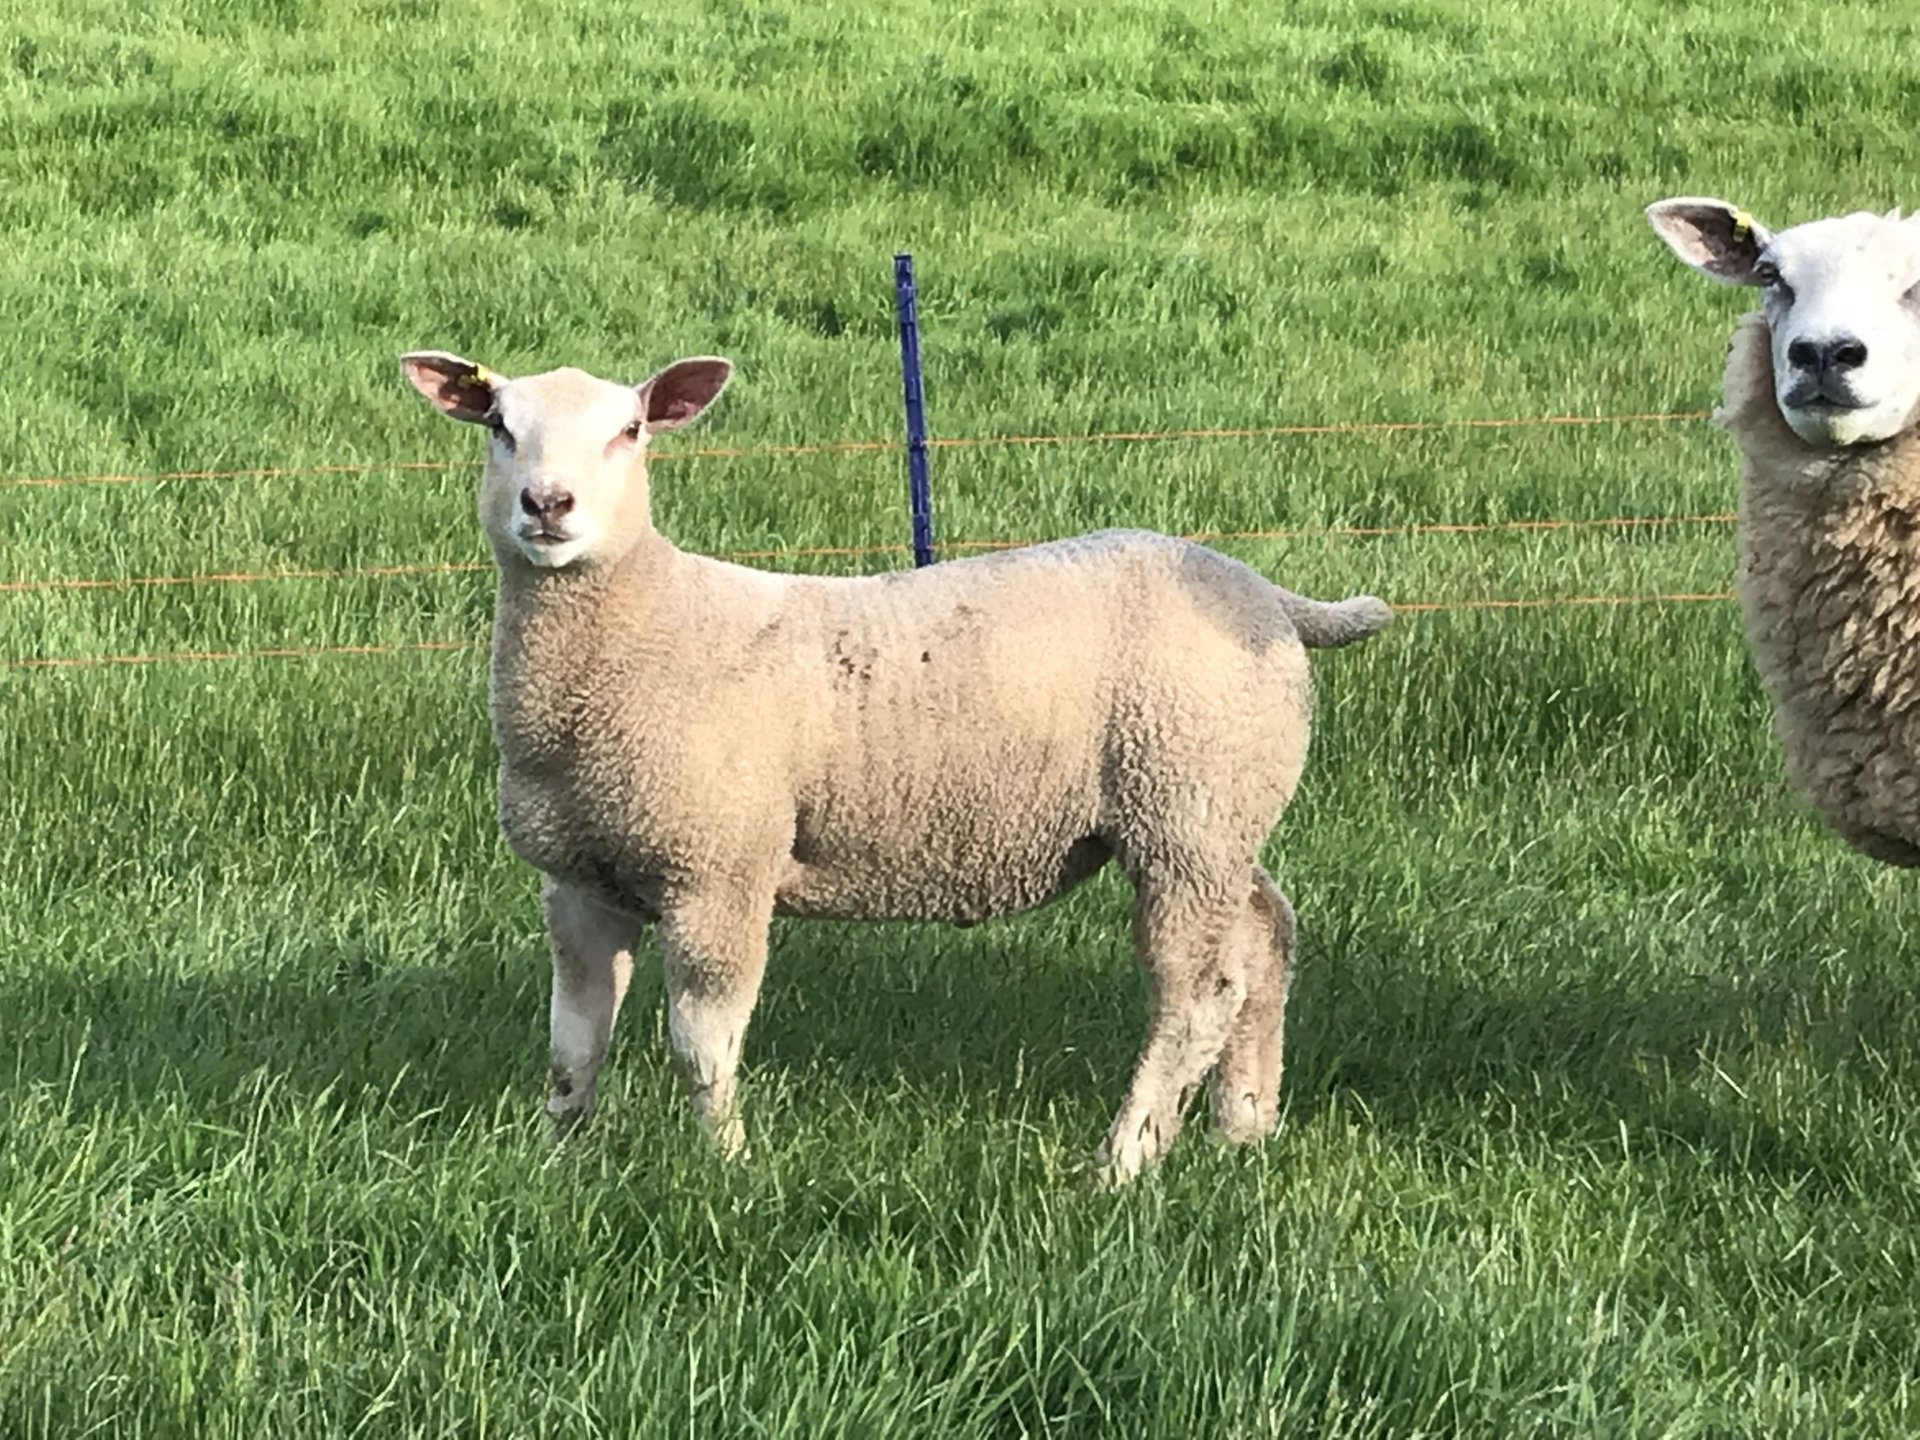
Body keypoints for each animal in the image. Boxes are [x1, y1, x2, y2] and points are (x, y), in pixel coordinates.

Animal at [398, 348, 1391, 1184]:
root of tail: (1268, 596)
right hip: (1220, 813)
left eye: (630, 430)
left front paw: (726, 1164)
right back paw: (1244, 1124)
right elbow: (574, 1041)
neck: (639, 630)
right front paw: (562, 1156)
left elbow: (702, 1043)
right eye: (499, 426)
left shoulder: (718, 870)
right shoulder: (579, 879)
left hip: (1183, 805)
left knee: (1199, 991)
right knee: (1267, 935)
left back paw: (1126, 1156)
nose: (548, 505)